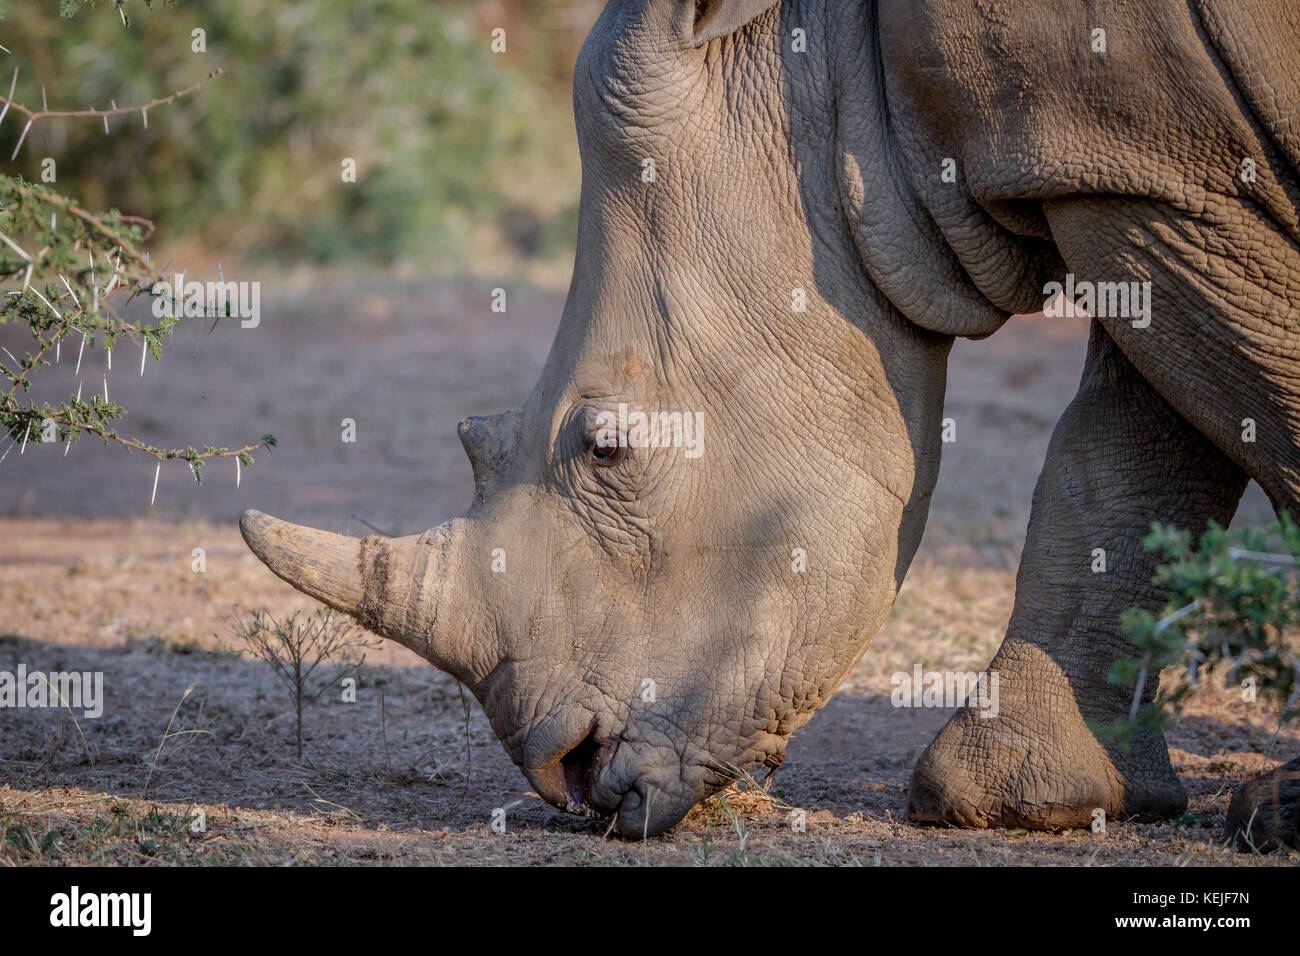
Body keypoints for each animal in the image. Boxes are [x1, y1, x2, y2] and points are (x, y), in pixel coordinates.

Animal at [241, 0, 1300, 843]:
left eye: (608, 449)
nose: (569, 775)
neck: (828, 88)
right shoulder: (1133, 171)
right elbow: (1126, 452)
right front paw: (1032, 799)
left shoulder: (1160, 175)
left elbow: (1258, 403)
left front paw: (1274, 814)